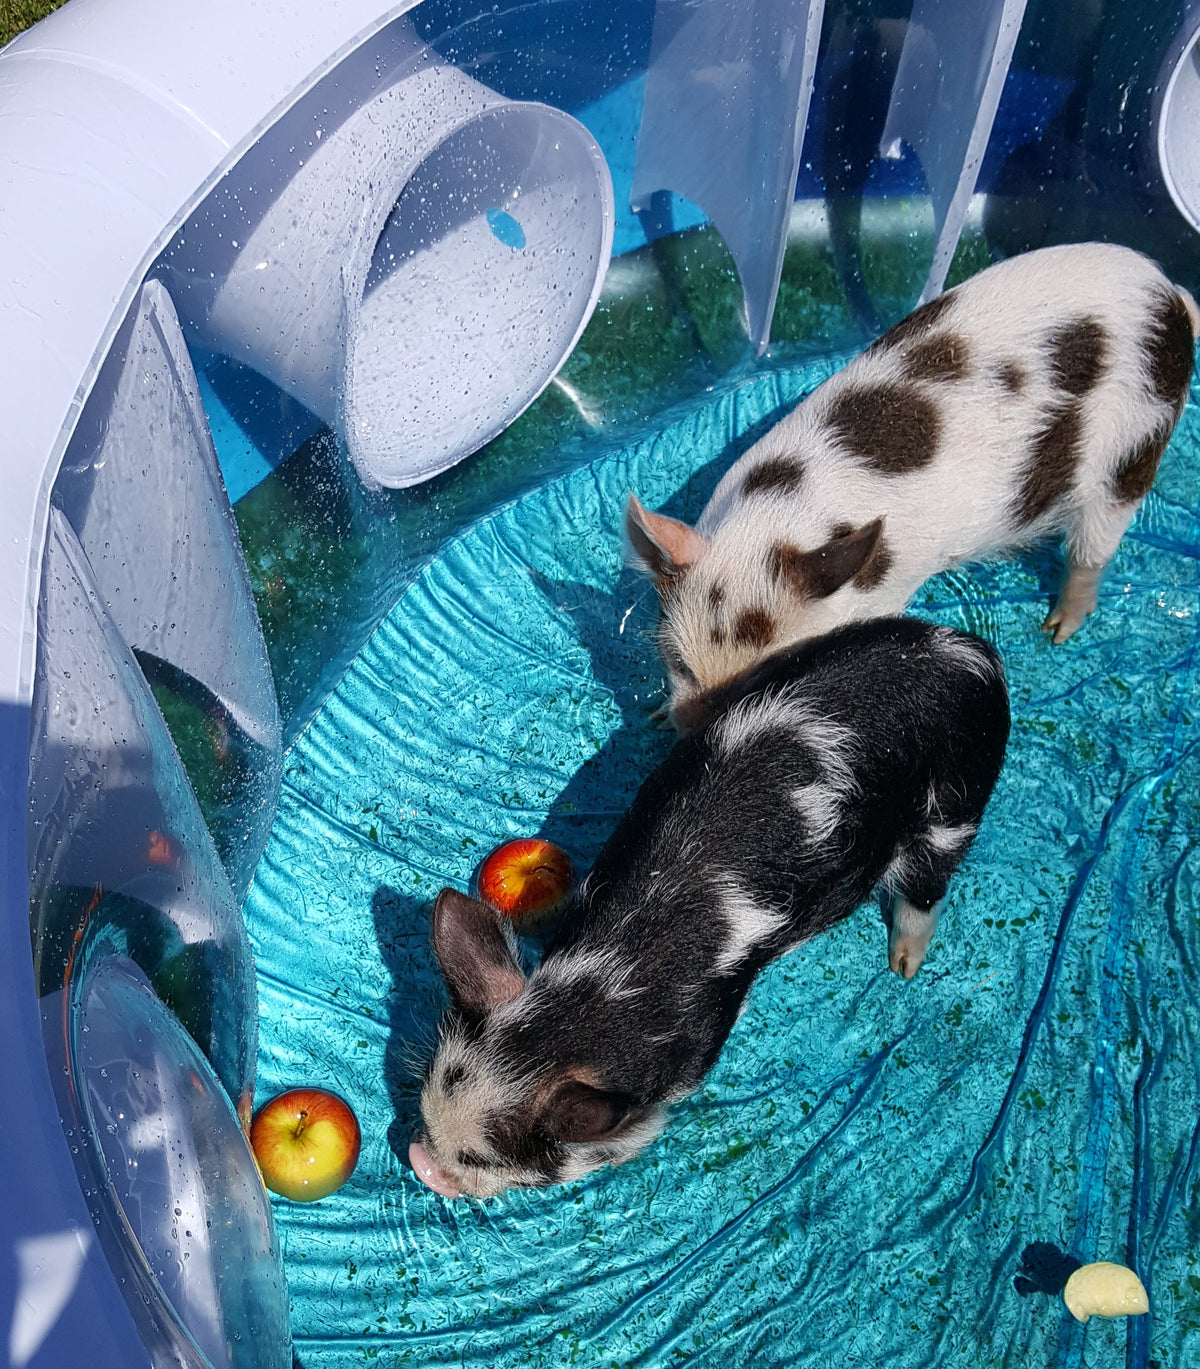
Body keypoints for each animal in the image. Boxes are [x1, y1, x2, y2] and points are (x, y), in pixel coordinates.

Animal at [409, 616, 1010, 1197]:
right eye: (426, 1110)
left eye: (481, 1158)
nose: (420, 1162)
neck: (604, 991)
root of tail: (970, 652)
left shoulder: (699, 1045)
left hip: (957, 798)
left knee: (928, 885)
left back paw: (903, 967)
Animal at [626, 242, 1198, 731]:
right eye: (679, 662)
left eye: (767, 675)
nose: (688, 732)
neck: (780, 514)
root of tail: (1170, 292)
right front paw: (654, 717)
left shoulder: (890, 591)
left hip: (1137, 441)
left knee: (1096, 543)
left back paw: (1057, 631)